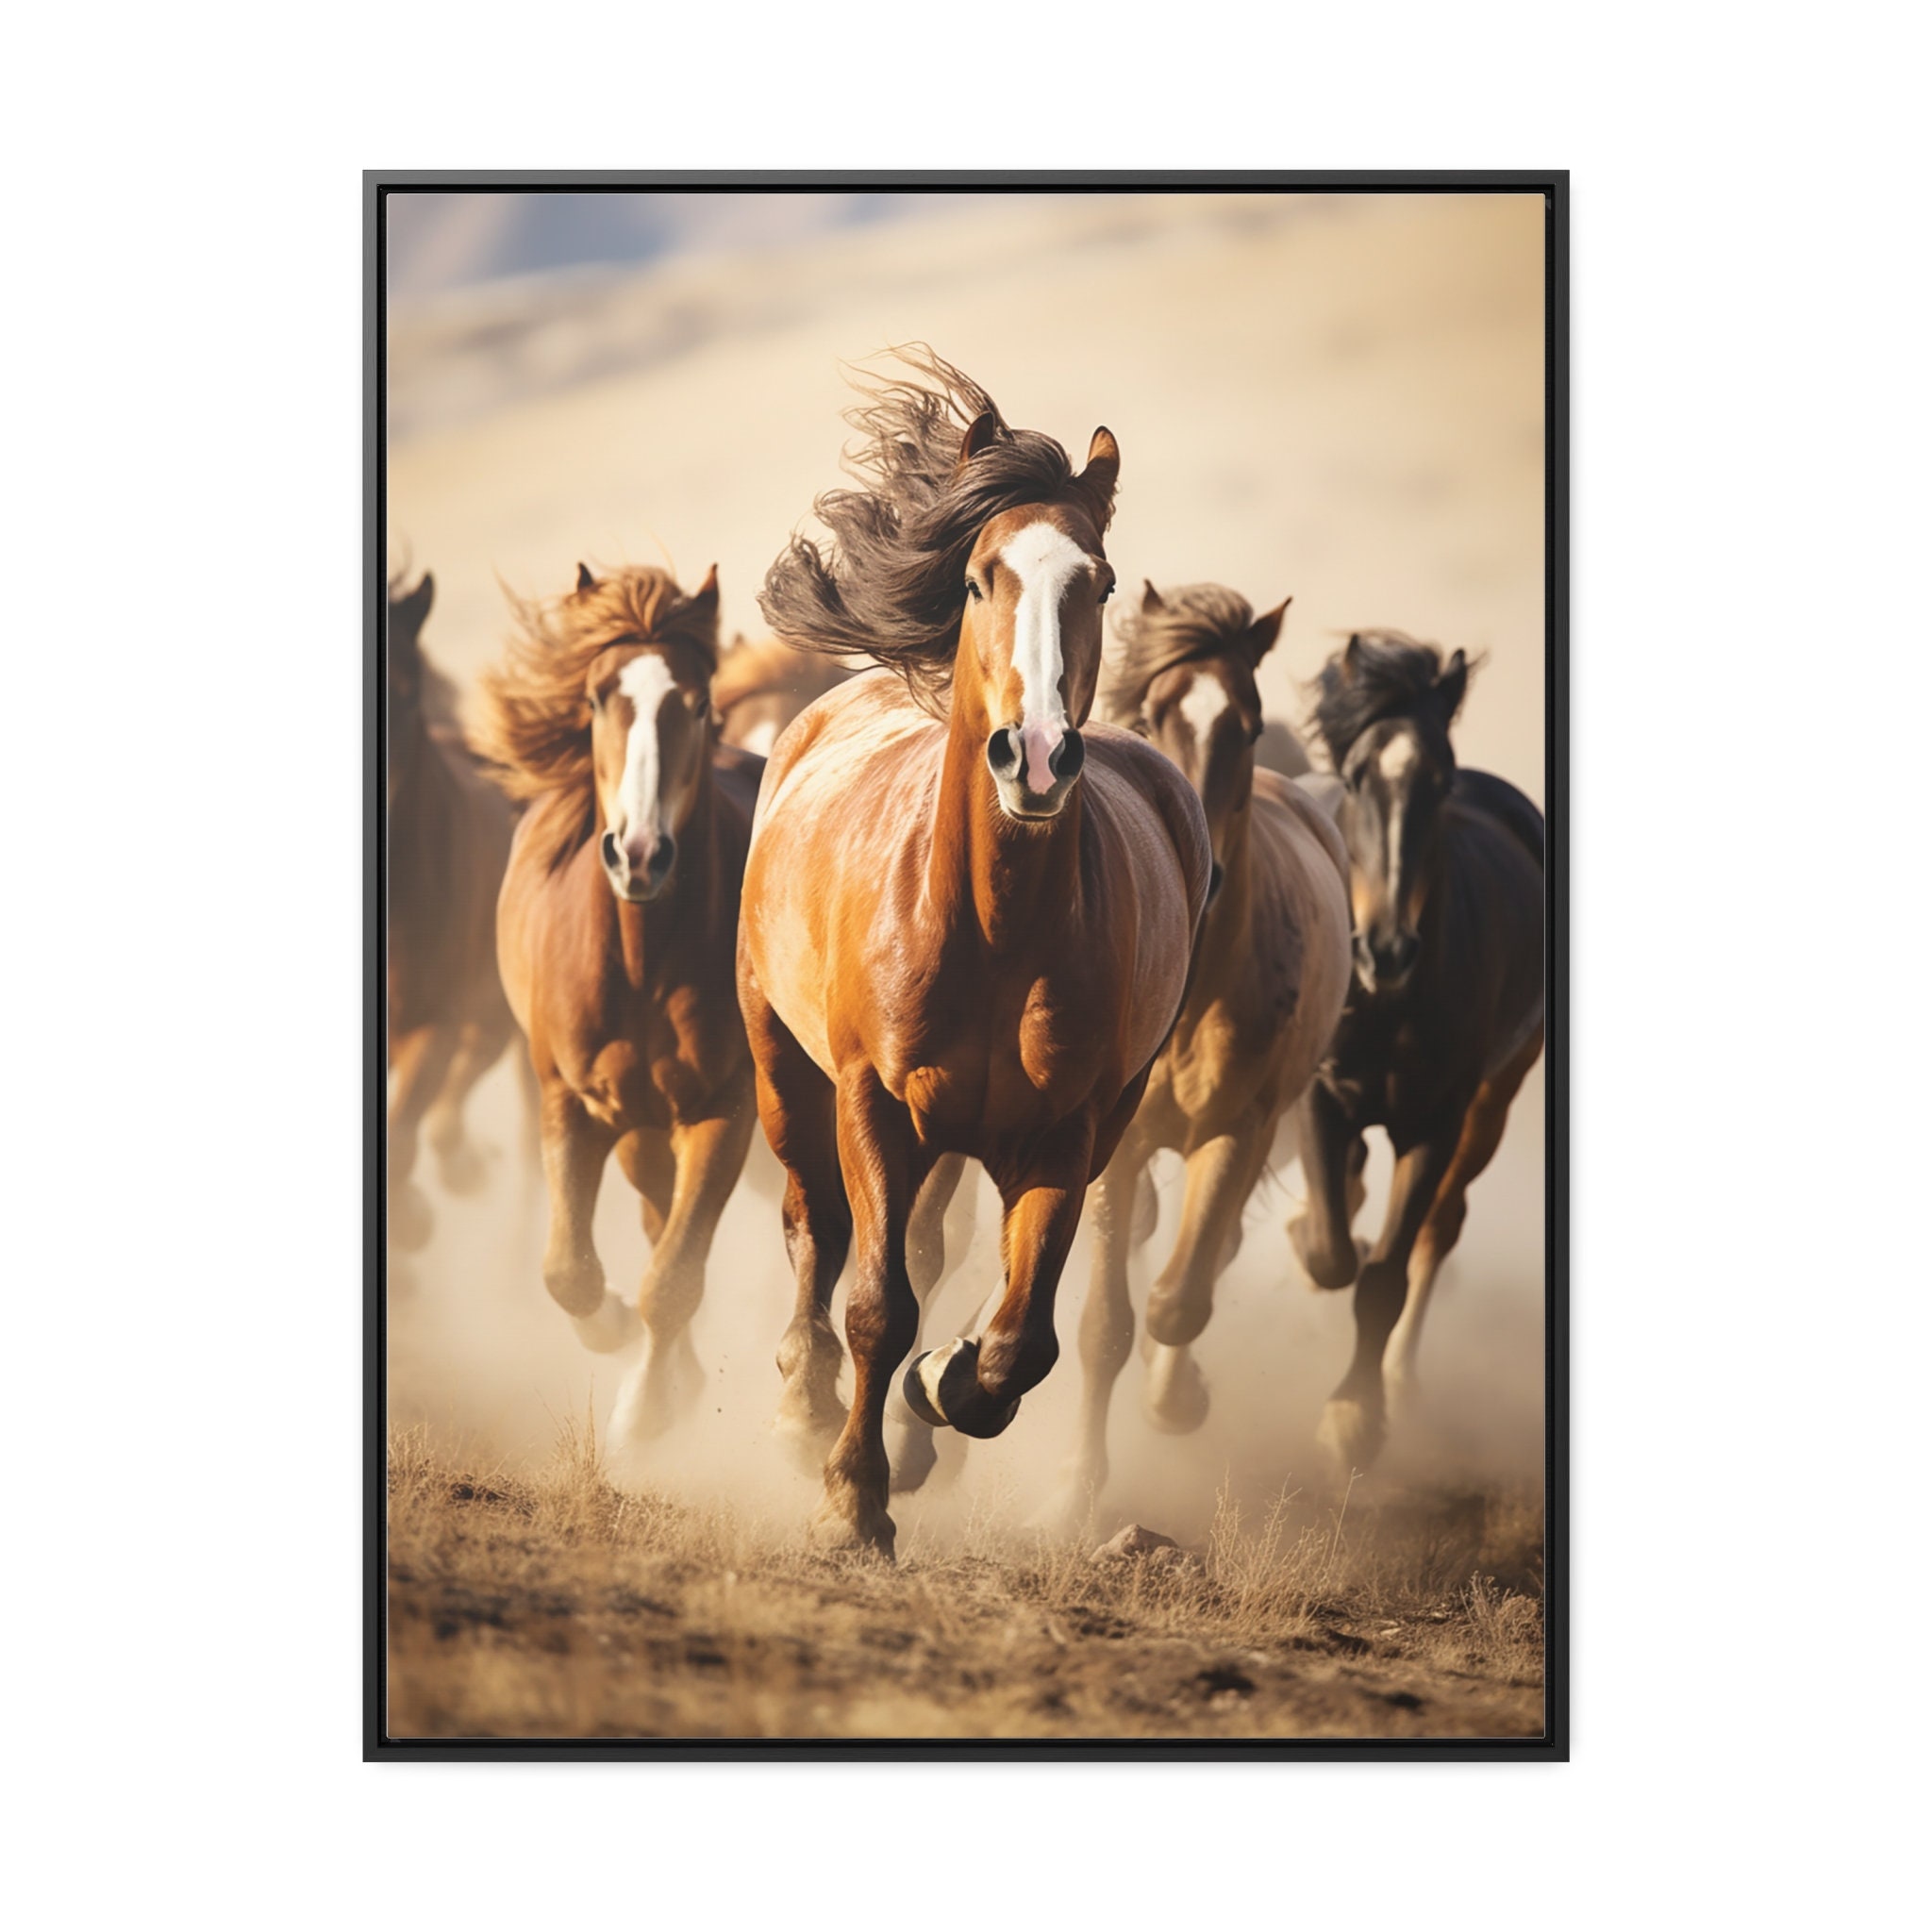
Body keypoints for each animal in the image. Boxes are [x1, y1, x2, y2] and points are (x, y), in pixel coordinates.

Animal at [478, 562, 764, 1456]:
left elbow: (673, 1276)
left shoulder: (723, 1110)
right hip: (636, 1127)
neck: (639, 959)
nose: (639, 853)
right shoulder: (569, 1102)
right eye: (600, 697)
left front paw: (644, 1413)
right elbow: (568, 1270)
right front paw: (607, 1328)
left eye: (698, 704)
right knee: (646, 1218)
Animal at [741, 349, 1212, 1556]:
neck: (992, 929)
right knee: (813, 1223)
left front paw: (938, 1384)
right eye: (977, 577)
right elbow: (874, 1299)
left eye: (1098, 581)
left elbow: (1018, 1337)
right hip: (780, 1062)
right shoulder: (867, 1097)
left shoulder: (1068, 1130)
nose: (1035, 756)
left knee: (934, 1258)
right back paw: (796, 1398)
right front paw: (850, 1500)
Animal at [1045, 582, 1354, 1523]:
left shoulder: (1238, 1131)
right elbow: (1105, 1322)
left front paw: (1176, 1401)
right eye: (1154, 714)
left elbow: (1179, 1303)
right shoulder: (1115, 1147)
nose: (1205, 875)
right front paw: (1075, 1488)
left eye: (1247, 726)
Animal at [1288, 631, 1544, 1474]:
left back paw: (1399, 1381)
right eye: (1356, 777)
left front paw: (1353, 1416)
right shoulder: (1321, 1095)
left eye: (1441, 781)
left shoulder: (1436, 1122)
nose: (1387, 951)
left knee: (1441, 1227)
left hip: (1494, 1102)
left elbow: (1385, 1276)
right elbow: (1333, 1251)